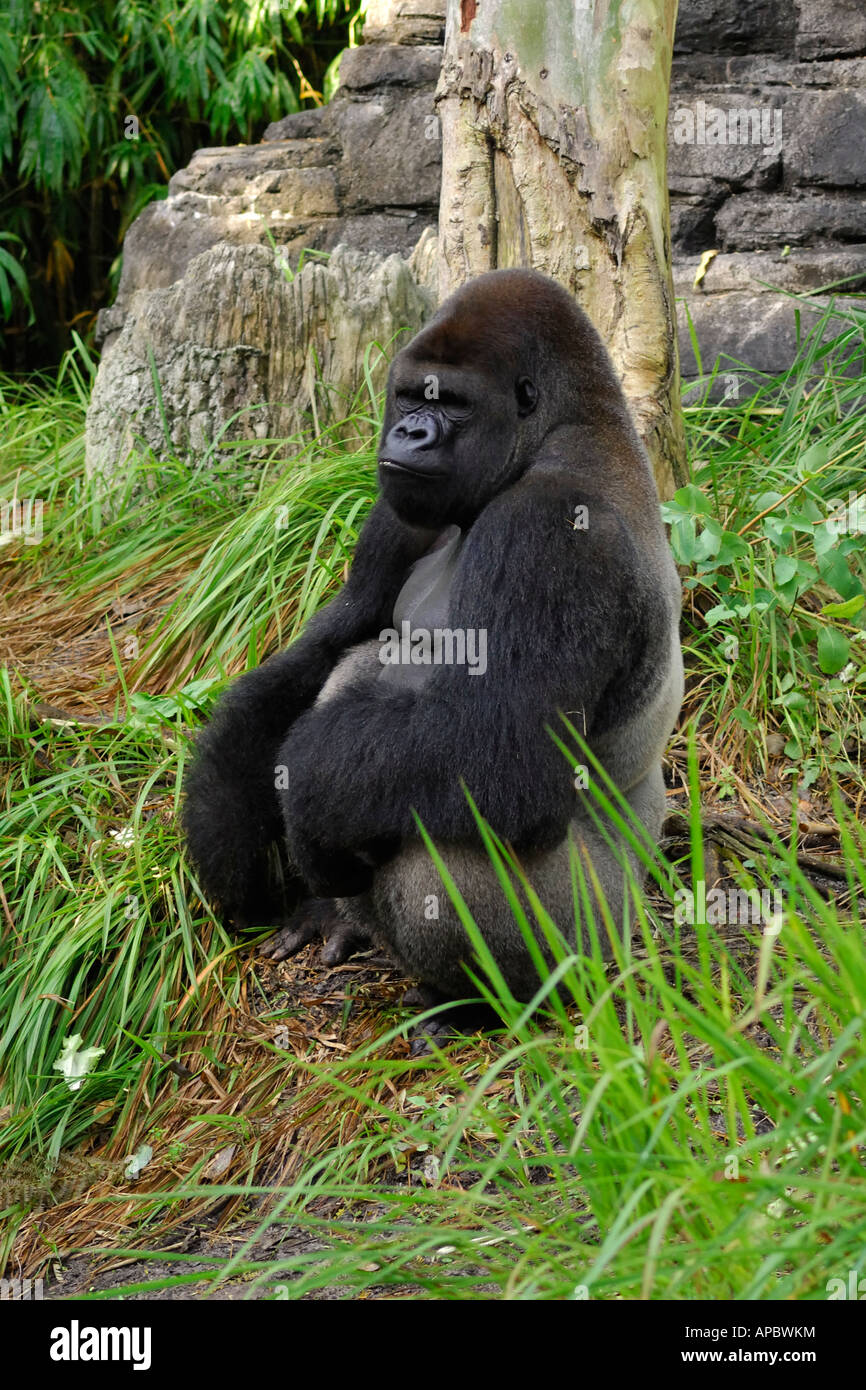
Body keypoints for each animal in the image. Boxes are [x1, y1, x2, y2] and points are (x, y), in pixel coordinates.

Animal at [182, 268, 684, 1030]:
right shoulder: (400, 511)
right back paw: (344, 917)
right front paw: (226, 827)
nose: (411, 431)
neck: (567, 427)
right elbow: (323, 652)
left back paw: (479, 1004)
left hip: (596, 936)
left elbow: (505, 749)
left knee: (444, 837)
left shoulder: (552, 529)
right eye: (411, 394)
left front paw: (301, 793)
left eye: (452, 404)